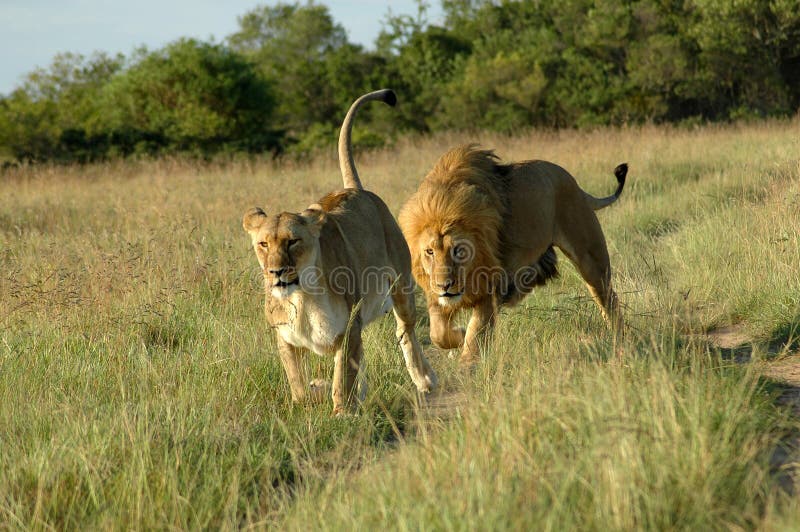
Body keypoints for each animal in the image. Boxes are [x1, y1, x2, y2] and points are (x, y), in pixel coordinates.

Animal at [243, 89, 437, 414]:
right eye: (263, 244)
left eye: (293, 241)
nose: (276, 272)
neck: (302, 296)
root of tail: (356, 189)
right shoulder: (285, 338)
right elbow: (298, 382)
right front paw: (309, 398)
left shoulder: (348, 329)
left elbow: (342, 376)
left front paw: (341, 413)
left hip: (402, 287)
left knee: (407, 333)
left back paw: (424, 380)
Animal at [398, 145, 627, 366]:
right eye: (429, 252)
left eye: (458, 250)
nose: (444, 285)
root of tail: (575, 185)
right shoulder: (436, 294)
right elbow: (438, 333)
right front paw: (459, 337)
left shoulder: (489, 290)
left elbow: (476, 332)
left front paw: (467, 364)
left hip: (591, 259)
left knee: (608, 299)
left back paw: (620, 339)